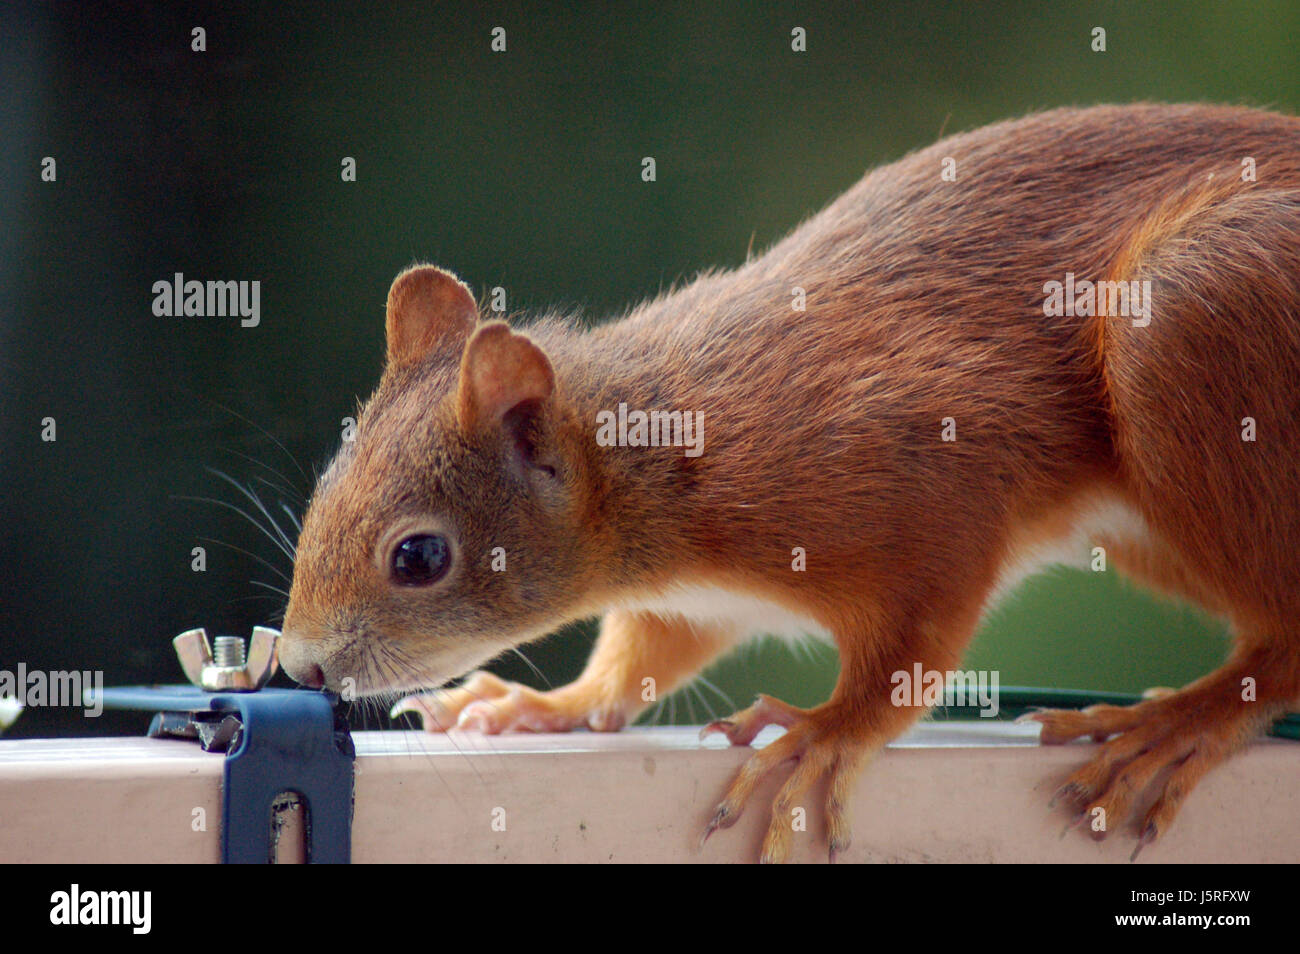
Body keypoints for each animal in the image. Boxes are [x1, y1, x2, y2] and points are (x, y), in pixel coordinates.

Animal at [280, 103, 1300, 863]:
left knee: (1284, 640)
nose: (299, 667)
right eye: (322, 495)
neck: (661, 467)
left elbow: (907, 653)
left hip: (1197, 312)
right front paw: (540, 706)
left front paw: (824, 735)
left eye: (419, 557)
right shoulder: (689, 598)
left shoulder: (929, 488)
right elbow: (643, 654)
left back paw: (1179, 721)